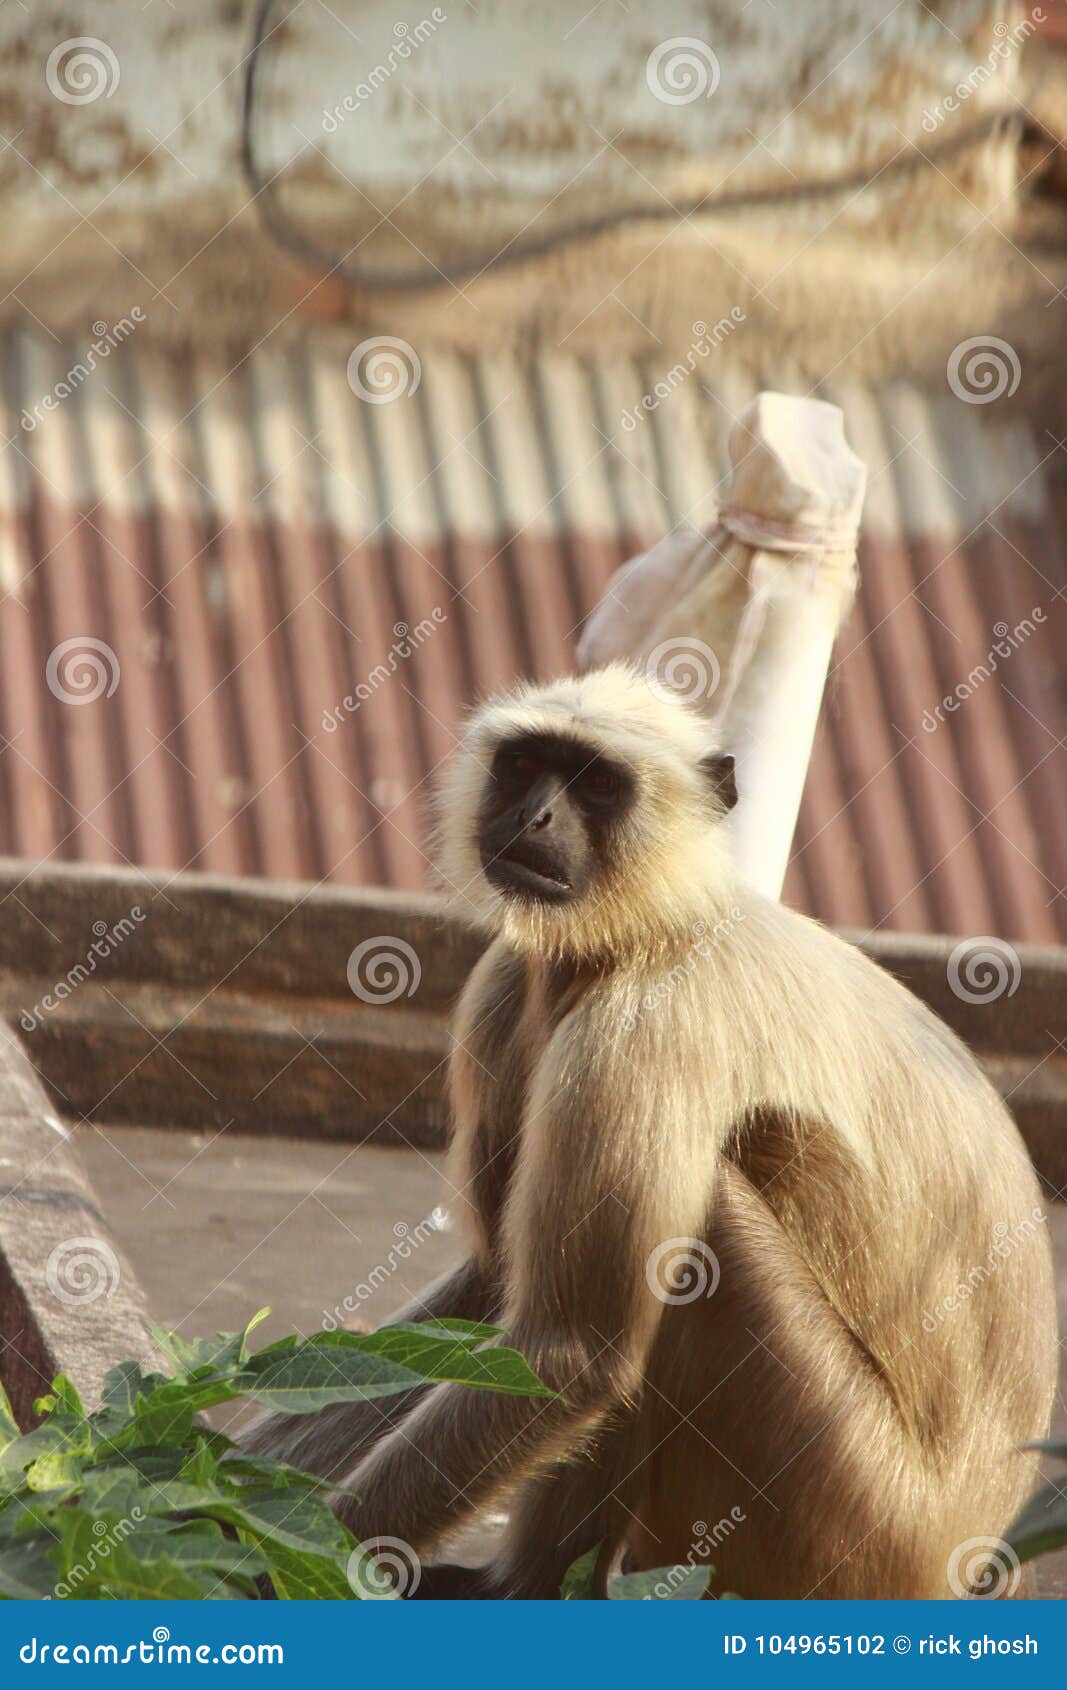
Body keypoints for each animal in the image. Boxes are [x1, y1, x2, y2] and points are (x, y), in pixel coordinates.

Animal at [245, 663, 1057, 1599]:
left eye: (597, 785)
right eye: (524, 766)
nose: (535, 819)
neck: (648, 927)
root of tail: (970, 1552)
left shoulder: (640, 1030)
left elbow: (572, 1353)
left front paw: (246, 1552)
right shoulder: (505, 988)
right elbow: (491, 1295)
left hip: (855, 1527)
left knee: (697, 1240)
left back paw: (524, 1588)